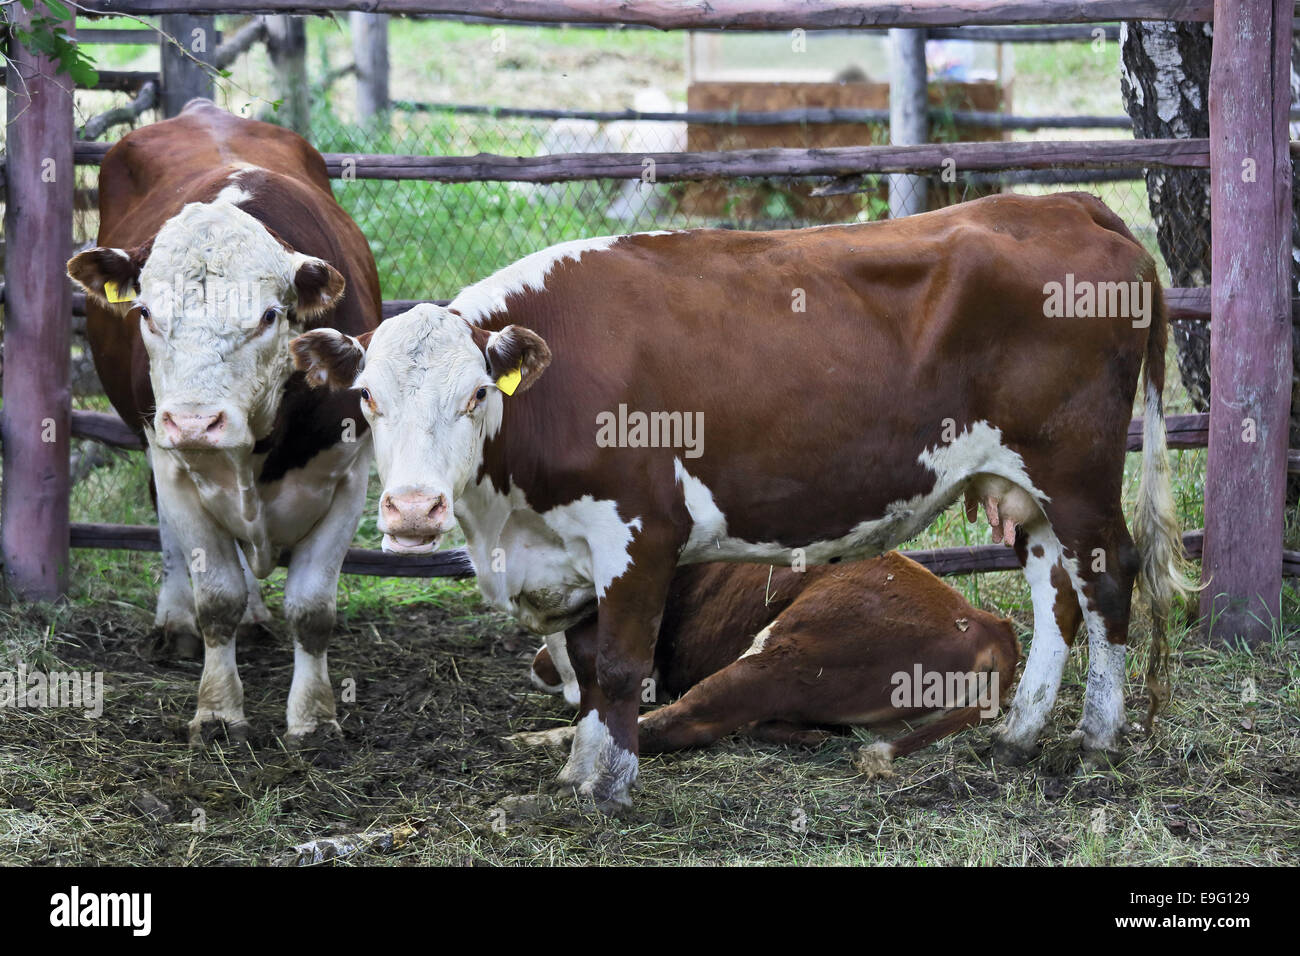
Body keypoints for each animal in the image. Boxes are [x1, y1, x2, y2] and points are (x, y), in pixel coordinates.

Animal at [66, 99, 381, 747]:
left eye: (268, 315)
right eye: (146, 311)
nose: (194, 422)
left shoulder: (348, 477)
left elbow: (312, 608)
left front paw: (314, 717)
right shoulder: (175, 465)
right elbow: (217, 598)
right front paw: (216, 711)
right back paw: (175, 621)